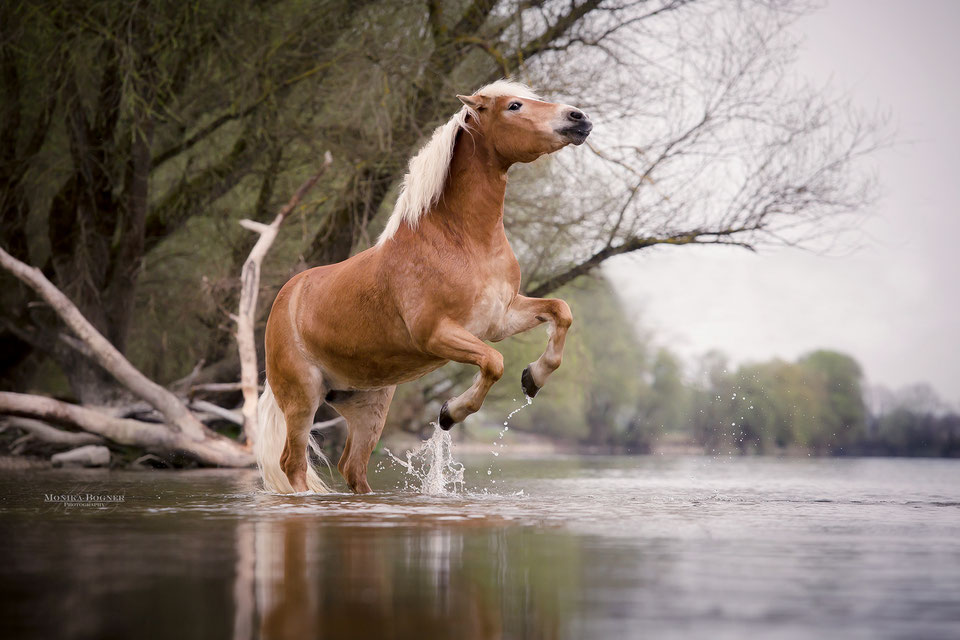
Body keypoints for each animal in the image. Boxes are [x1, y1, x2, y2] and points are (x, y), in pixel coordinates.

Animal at [256, 80, 592, 494]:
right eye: (514, 106)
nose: (579, 118)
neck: (463, 241)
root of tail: (284, 300)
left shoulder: (499, 319)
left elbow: (561, 311)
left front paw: (534, 378)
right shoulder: (437, 334)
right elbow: (494, 363)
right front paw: (451, 414)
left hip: (368, 404)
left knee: (352, 466)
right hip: (302, 398)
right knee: (293, 463)